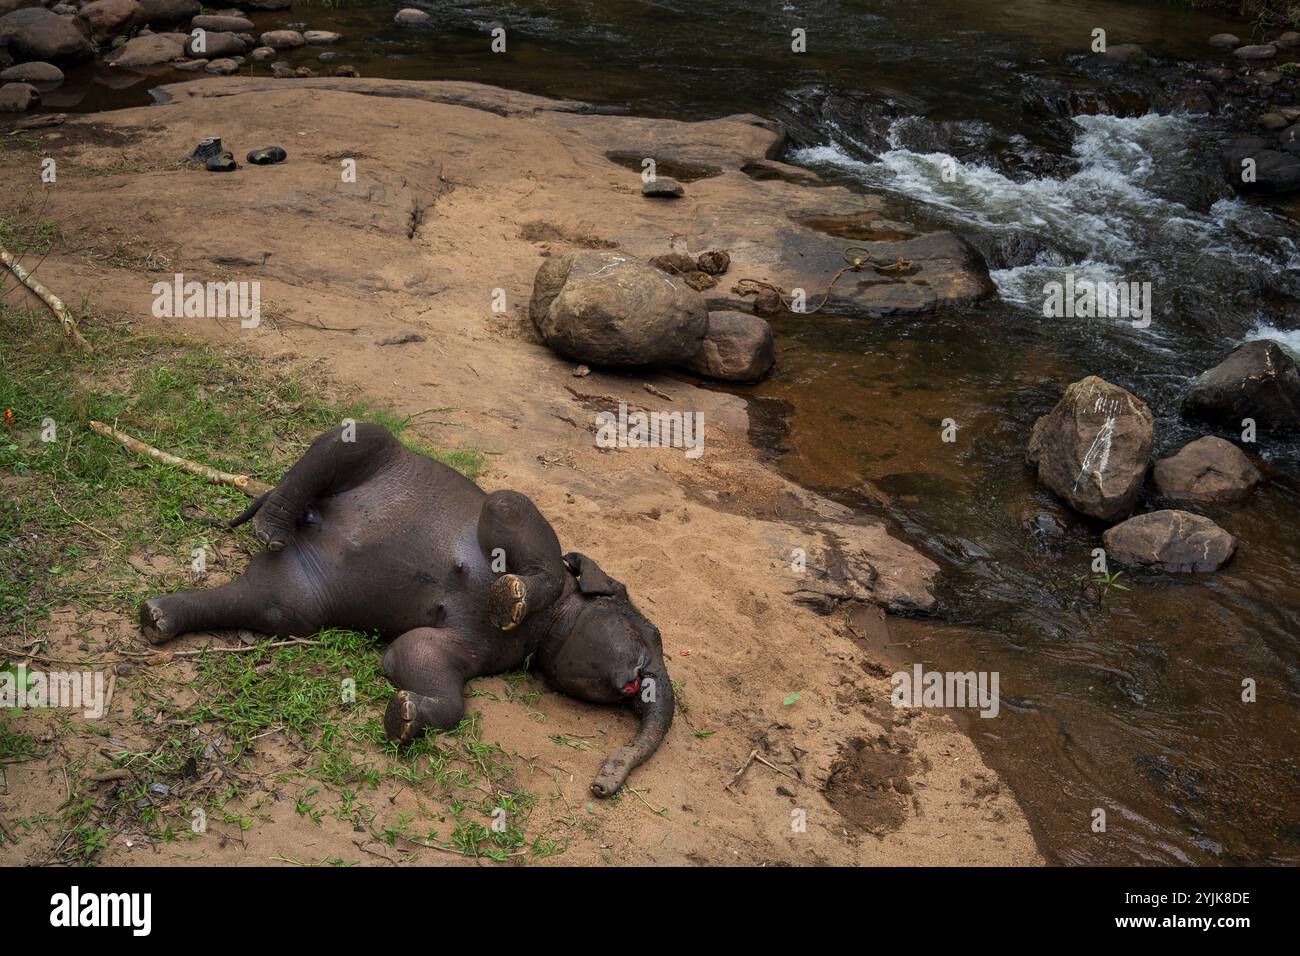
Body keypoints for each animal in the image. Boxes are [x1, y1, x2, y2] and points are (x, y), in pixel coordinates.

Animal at [139, 422, 673, 797]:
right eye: (653, 634)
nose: (602, 785)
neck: (552, 618)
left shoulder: (486, 647)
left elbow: (413, 655)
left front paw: (402, 716)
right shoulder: (528, 535)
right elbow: (506, 506)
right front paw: (510, 595)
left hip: (296, 592)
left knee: (269, 606)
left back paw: (157, 617)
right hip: (374, 454)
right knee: (354, 439)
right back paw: (271, 523)